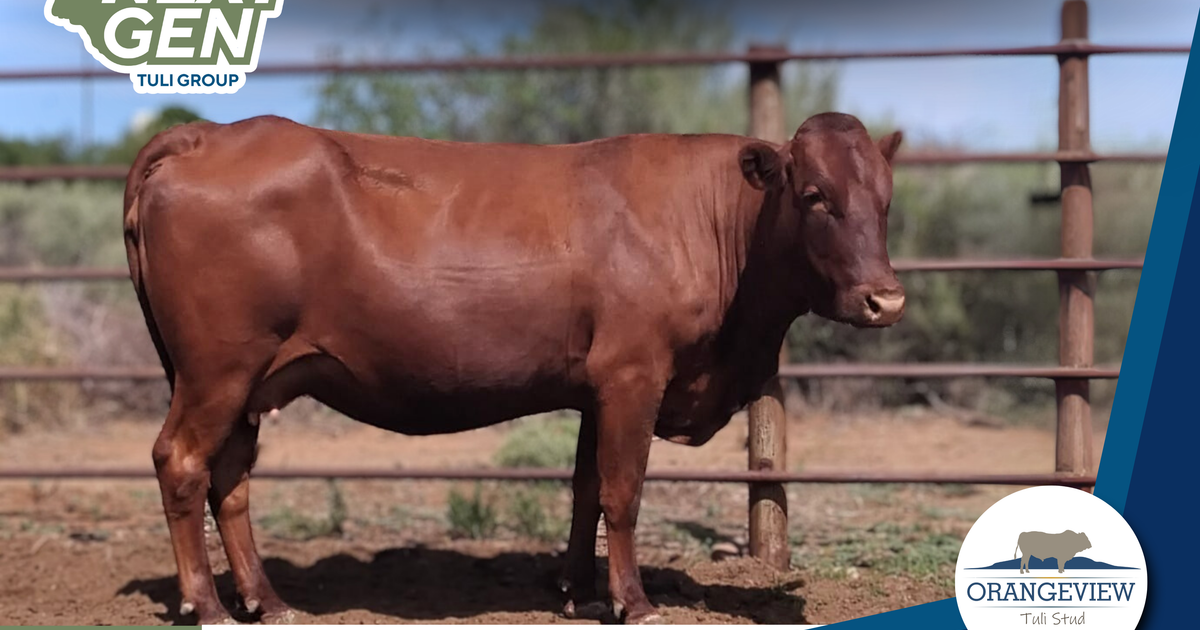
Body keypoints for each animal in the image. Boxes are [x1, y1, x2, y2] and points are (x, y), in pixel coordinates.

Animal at [123, 112, 905, 624]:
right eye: (814, 195)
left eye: (885, 199)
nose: (886, 298)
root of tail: (208, 133)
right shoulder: (633, 374)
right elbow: (623, 493)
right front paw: (635, 602)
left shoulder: (596, 388)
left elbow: (586, 490)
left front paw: (578, 591)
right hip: (218, 369)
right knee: (182, 463)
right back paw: (208, 605)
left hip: (247, 380)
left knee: (230, 477)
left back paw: (270, 602)